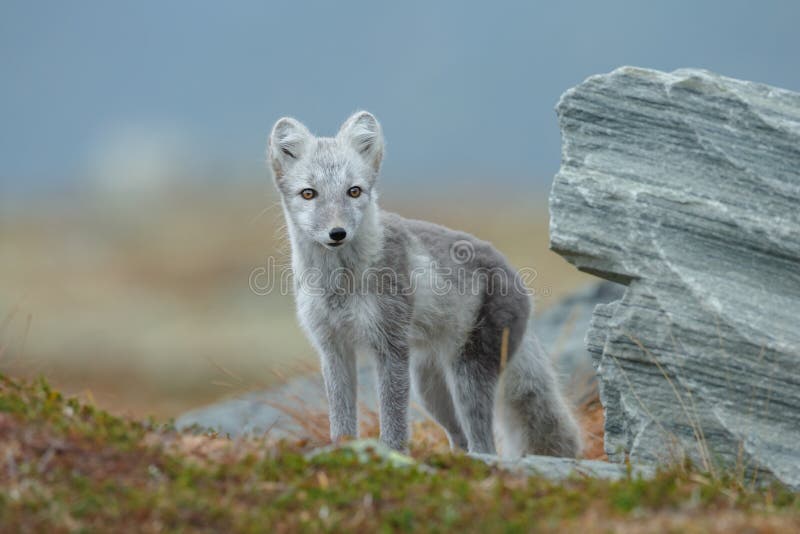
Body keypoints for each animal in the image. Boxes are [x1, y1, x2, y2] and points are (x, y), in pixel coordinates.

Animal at [267, 111, 582, 457]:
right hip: (428, 387)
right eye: (308, 193)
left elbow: (393, 421)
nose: (337, 233)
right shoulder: (333, 347)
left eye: (354, 191)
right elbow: (340, 418)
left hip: (467, 375)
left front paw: (391, 455)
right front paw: (343, 451)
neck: (338, 284)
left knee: (484, 445)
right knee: (460, 439)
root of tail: (517, 278)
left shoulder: (390, 346)